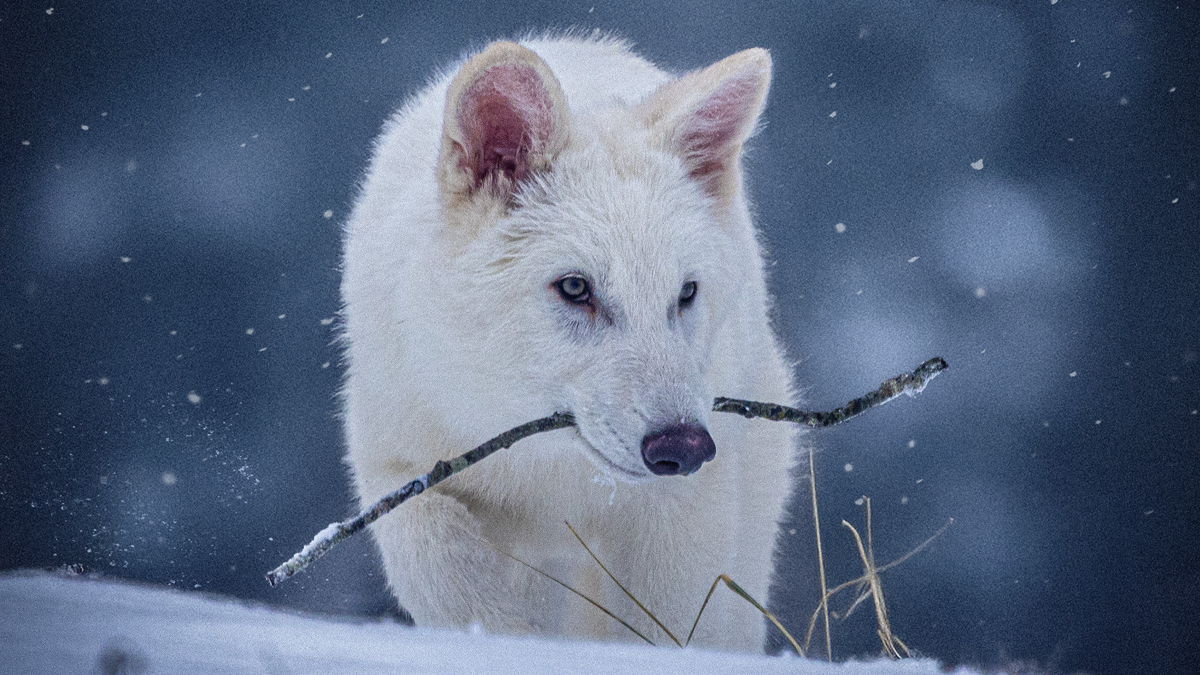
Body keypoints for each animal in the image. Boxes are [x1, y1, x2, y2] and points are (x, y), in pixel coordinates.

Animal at [340, 34, 801, 652]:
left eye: (685, 293)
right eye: (576, 287)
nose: (684, 447)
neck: (549, 469)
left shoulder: (679, 513)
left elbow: (666, 628)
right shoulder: (398, 467)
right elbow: (447, 571)